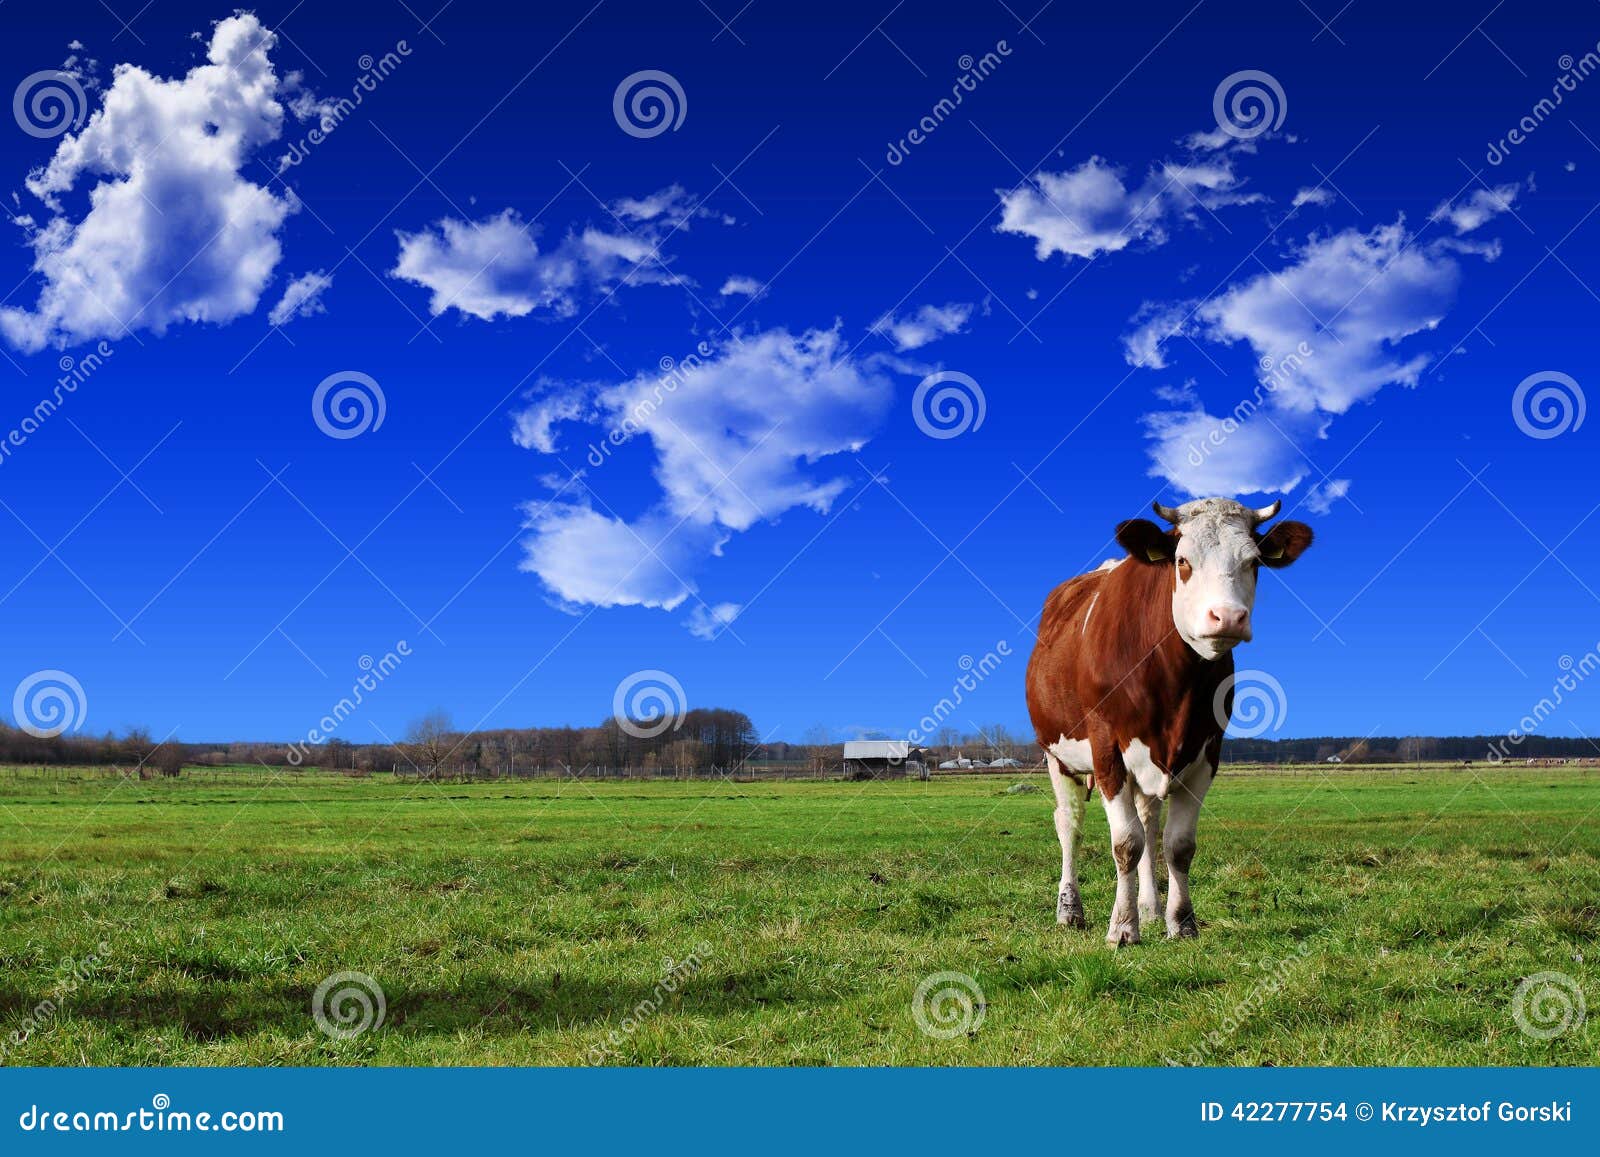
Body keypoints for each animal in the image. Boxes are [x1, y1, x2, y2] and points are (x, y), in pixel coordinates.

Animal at [1025, 497, 1312, 945]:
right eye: (1182, 561)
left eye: (1254, 562)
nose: (1227, 617)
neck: (1176, 686)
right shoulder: (1107, 749)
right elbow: (1125, 844)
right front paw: (1122, 928)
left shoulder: (1207, 751)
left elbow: (1177, 845)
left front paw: (1181, 922)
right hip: (1059, 755)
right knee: (1070, 825)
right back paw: (1071, 911)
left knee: (1149, 823)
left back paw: (1151, 908)